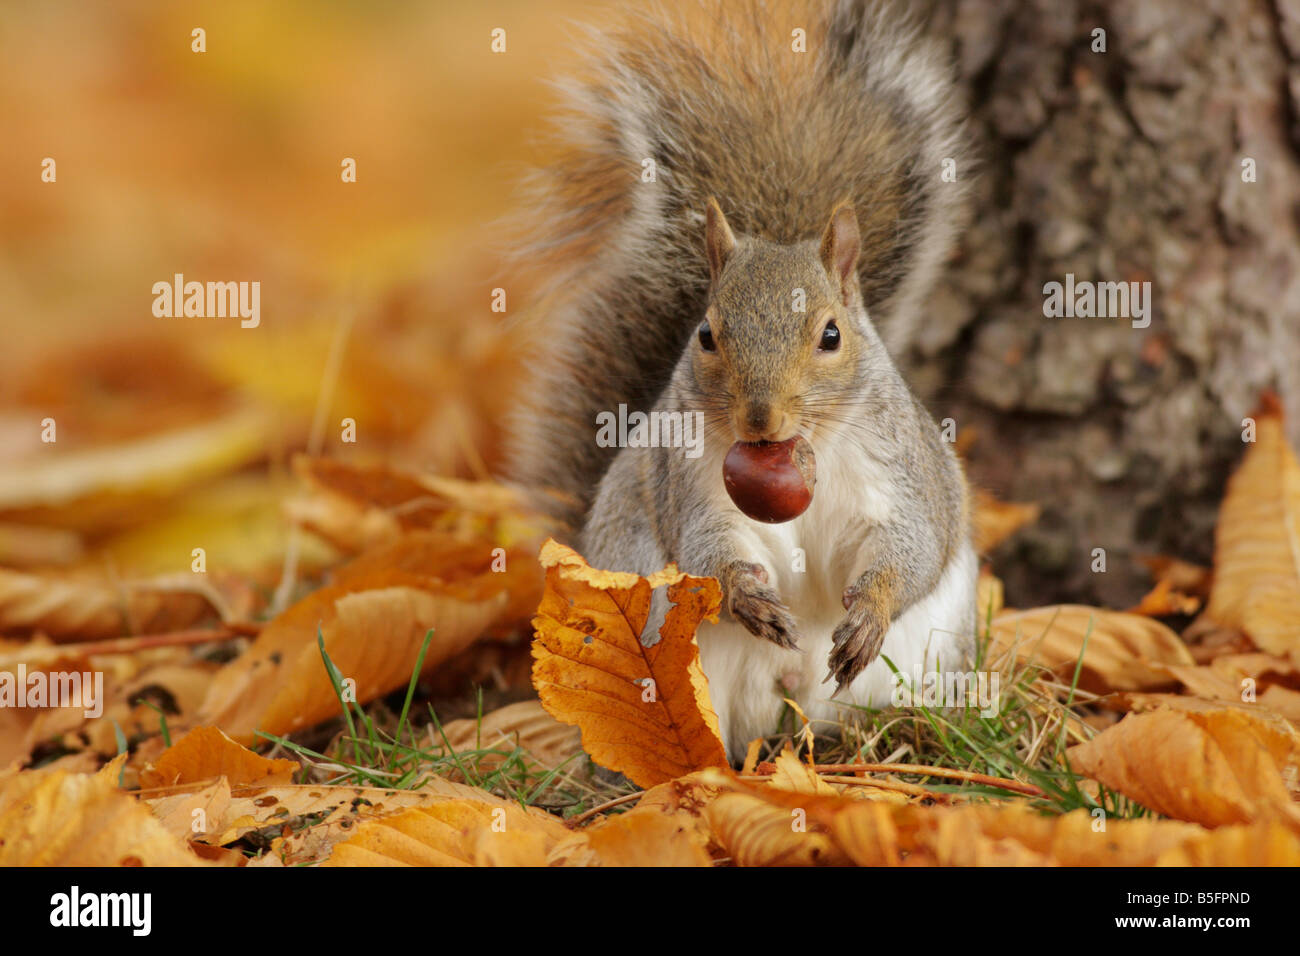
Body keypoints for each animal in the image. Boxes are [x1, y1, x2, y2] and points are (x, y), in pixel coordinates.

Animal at [506, 0, 978, 761]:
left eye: (831, 335)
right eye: (705, 334)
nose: (760, 419)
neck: (807, 449)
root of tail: (789, 703)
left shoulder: (901, 473)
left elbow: (908, 545)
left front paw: (870, 610)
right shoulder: (692, 481)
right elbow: (708, 547)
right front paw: (746, 595)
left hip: (920, 659)